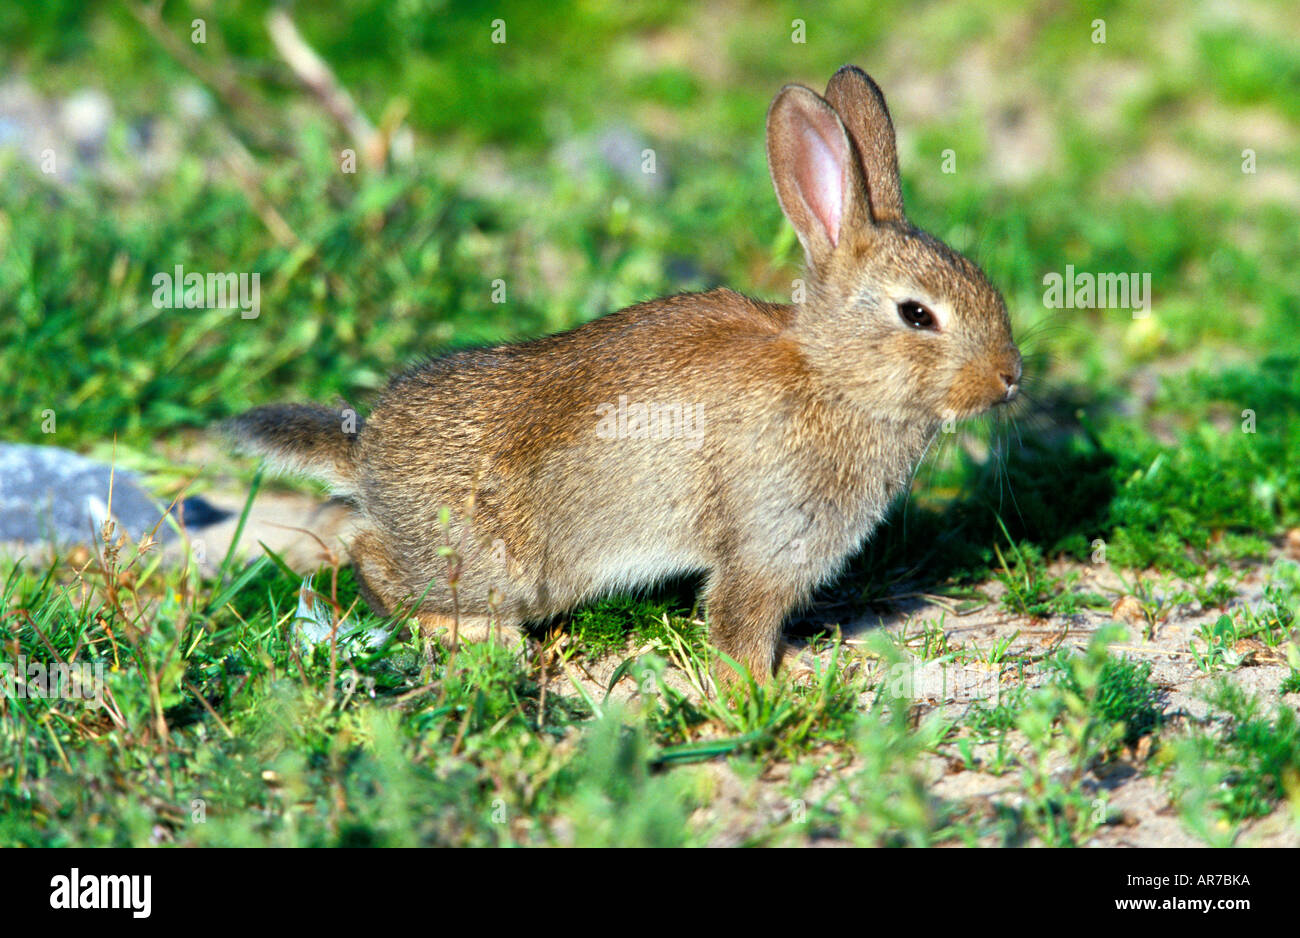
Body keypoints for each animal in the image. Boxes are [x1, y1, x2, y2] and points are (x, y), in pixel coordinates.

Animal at [224, 65, 1021, 687]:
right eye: (917, 315)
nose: (1011, 377)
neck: (833, 375)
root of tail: (365, 456)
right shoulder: (764, 544)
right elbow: (738, 625)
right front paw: (762, 692)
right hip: (493, 563)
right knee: (374, 561)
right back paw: (488, 641)